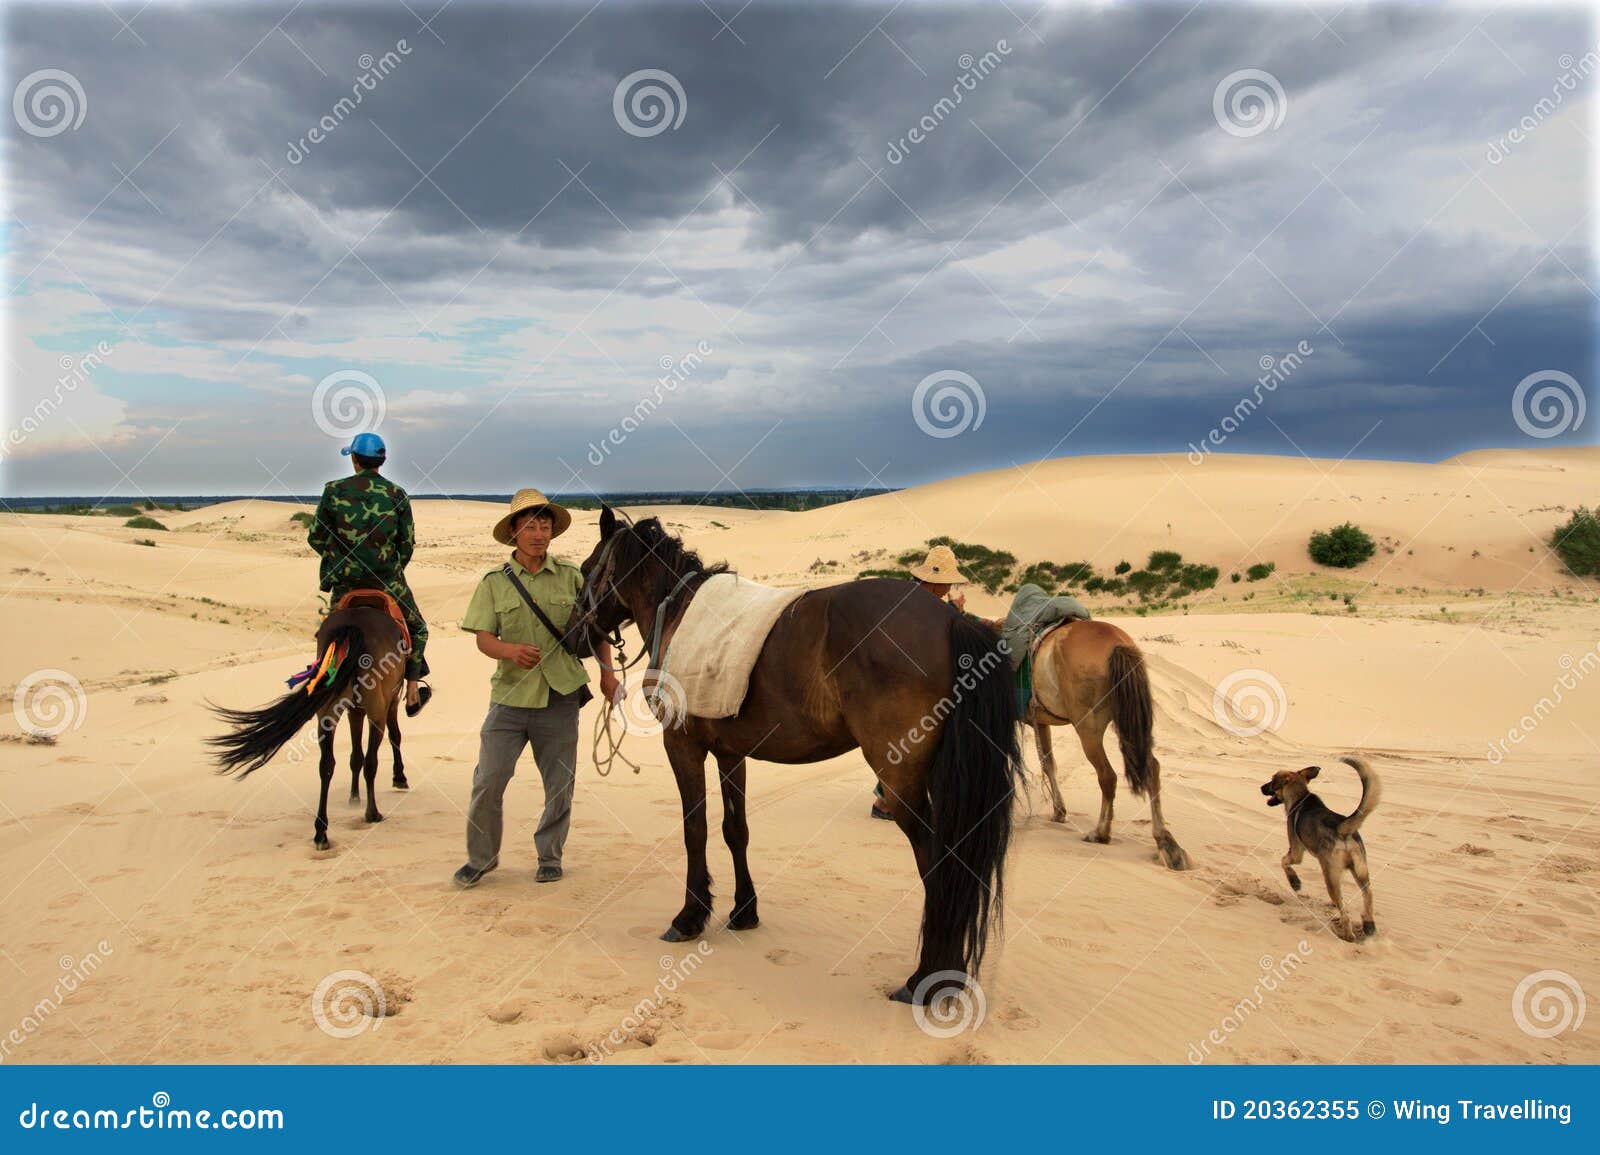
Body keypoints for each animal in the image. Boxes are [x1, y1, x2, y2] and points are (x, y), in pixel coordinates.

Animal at [206, 605, 409, 850]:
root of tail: (353, 625)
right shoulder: (390, 700)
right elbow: (393, 736)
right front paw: (399, 777)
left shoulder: (354, 709)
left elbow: (355, 756)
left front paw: (353, 796)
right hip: (376, 705)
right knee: (371, 761)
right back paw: (372, 813)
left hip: (329, 710)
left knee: (327, 764)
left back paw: (321, 831)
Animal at [565, 507, 1024, 1007]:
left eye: (586, 569)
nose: (572, 637)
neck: (679, 612)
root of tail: (948, 621)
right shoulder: (731, 754)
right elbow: (735, 830)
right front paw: (743, 910)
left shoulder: (682, 746)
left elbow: (694, 830)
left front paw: (689, 916)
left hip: (900, 781)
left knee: (938, 859)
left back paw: (927, 975)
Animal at [1026, 619, 1190, 870]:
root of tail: (1118, 643)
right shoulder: (1040, 721)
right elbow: (1048, 763)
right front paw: (1058, 811)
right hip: (1129, 721)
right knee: (1151, 768)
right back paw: (1166, 843)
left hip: (1088, 727)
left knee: (1107, 776)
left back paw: (1100, 833)